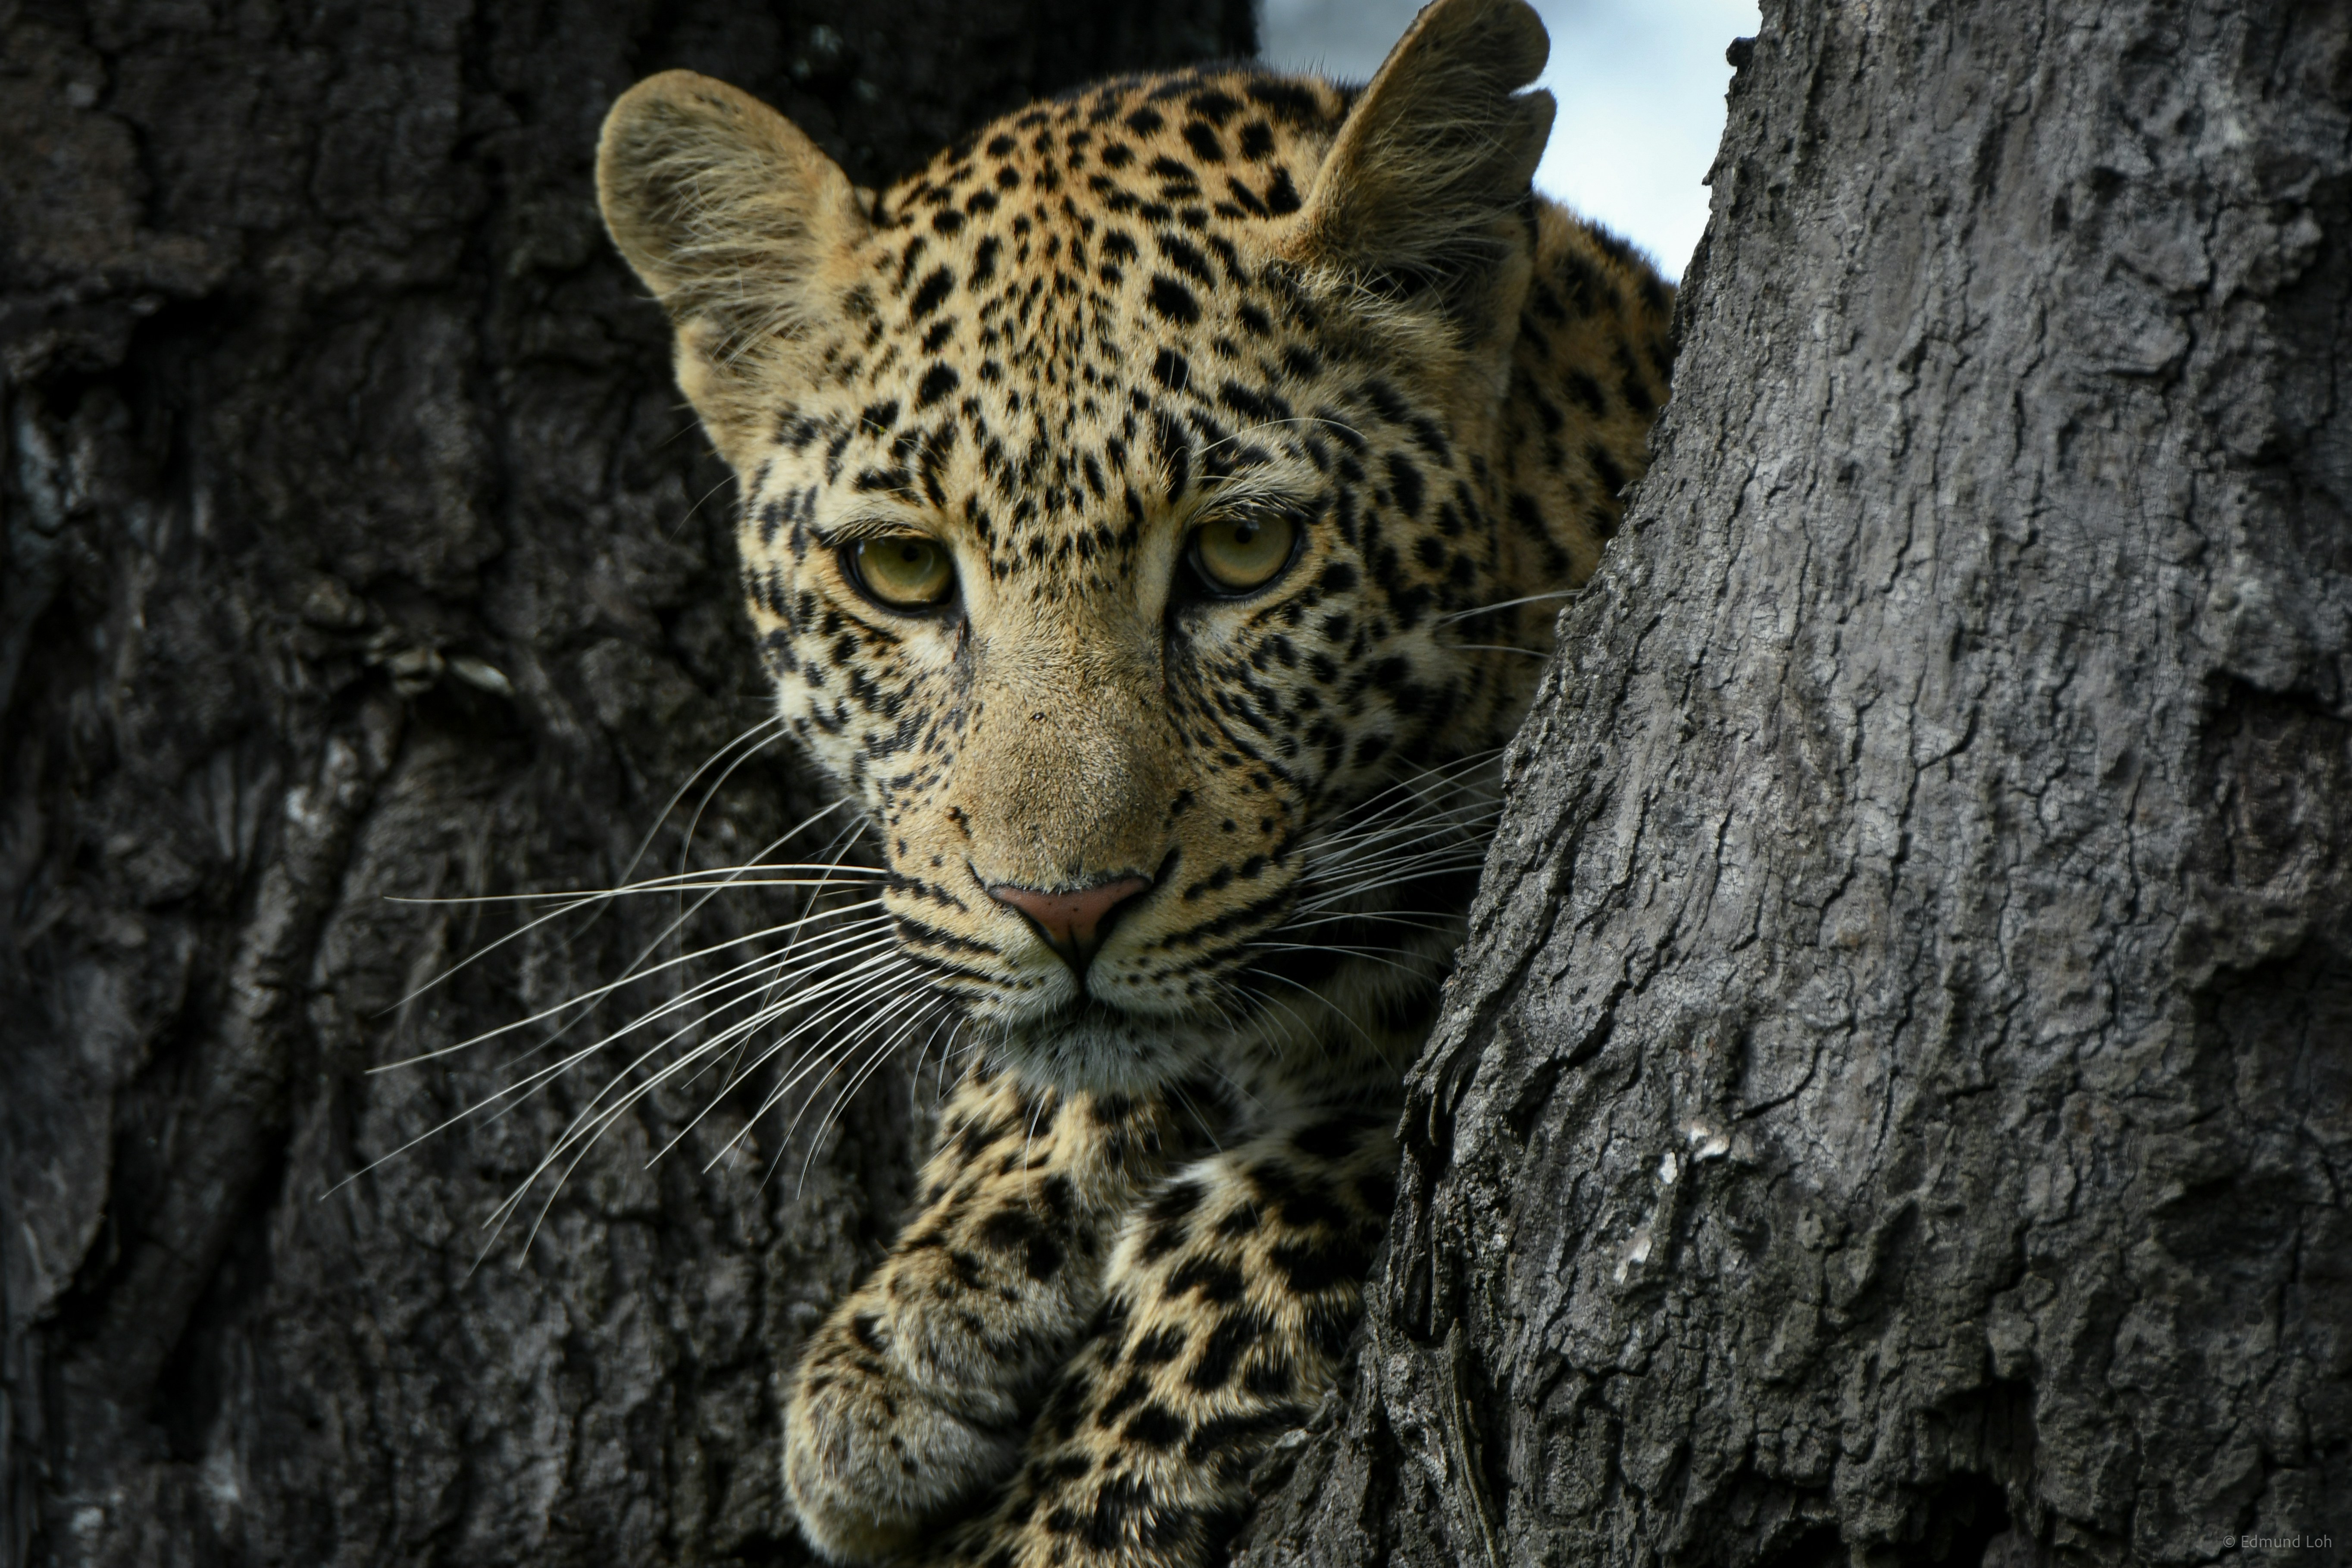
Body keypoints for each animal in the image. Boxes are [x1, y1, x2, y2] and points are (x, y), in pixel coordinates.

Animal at [593, 0, 1673, 1562]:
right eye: (902, 569)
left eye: (1241, 551)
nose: (1067, 910)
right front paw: (921, 1309)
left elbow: (1297, 1194)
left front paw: (1066, 1500)